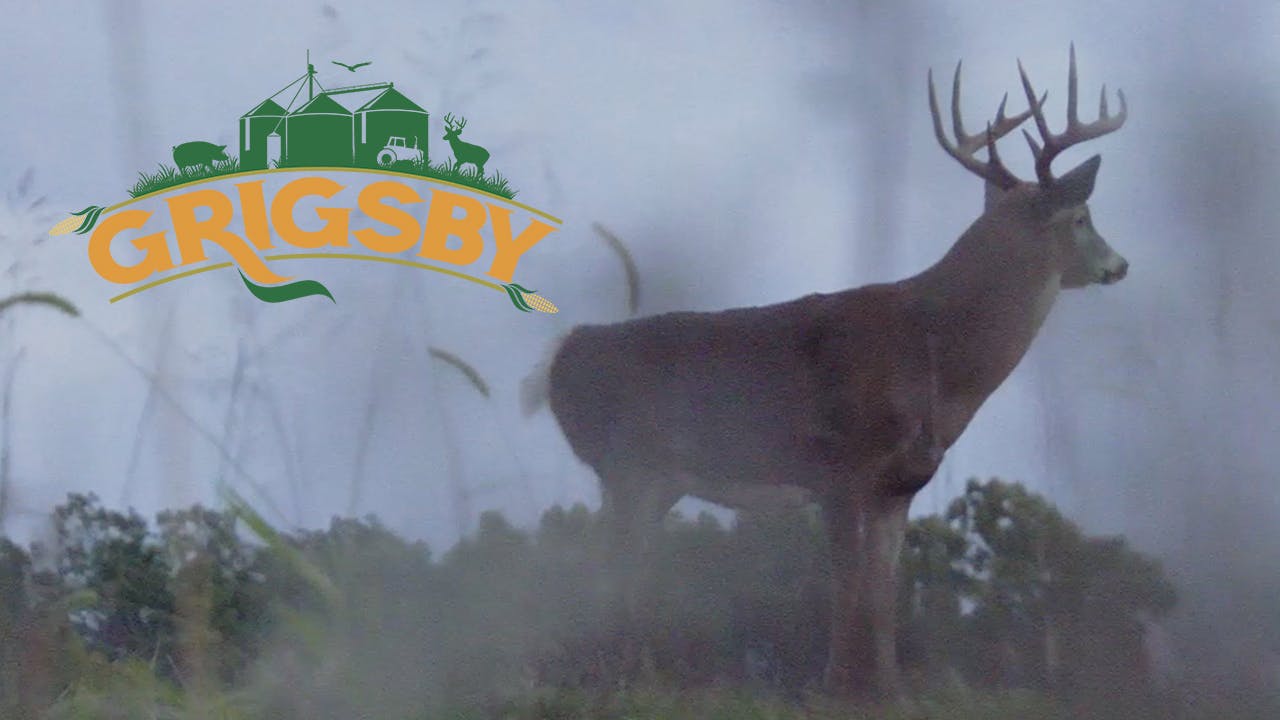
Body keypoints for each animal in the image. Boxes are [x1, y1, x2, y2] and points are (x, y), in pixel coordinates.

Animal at [521, 45, 1128, 698]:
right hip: (628, 466)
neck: (935, 358)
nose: (1120, 264)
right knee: (601, 567)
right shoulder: (839, 467)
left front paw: (888, 691)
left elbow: (884, 594)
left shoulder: (898, 486)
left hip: (654, 481)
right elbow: (847, 588)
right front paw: (835, 687)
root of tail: (563, 353)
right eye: (1082, 217)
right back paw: (615, 675)